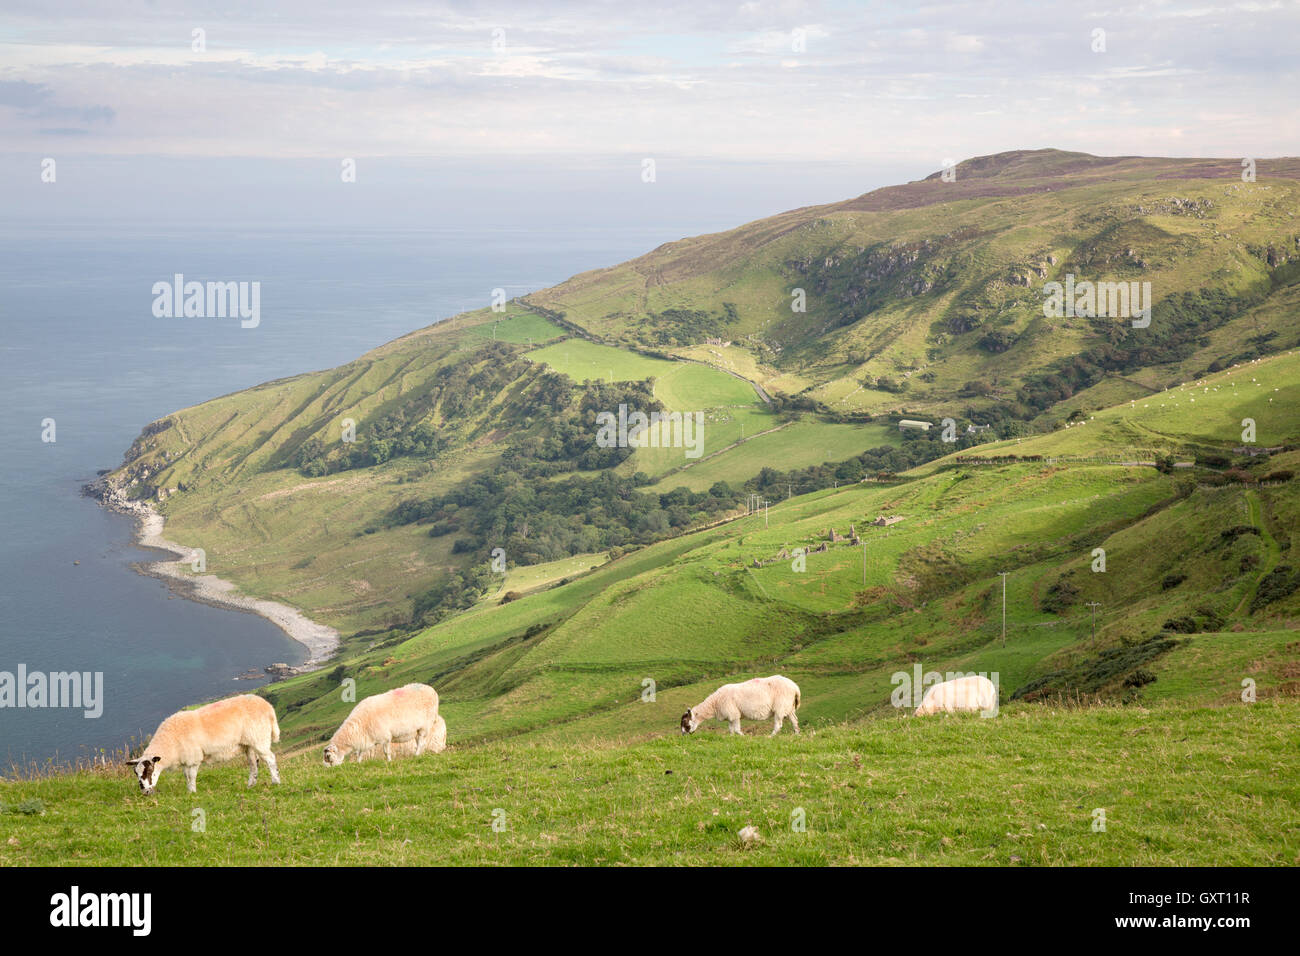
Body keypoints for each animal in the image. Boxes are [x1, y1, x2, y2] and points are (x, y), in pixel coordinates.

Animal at [126, 694, 280, 794]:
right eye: (135, 772)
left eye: (149, 770)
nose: (145, 791)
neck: (170, 743)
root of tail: (268, 707)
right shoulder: (186, 759)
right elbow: (186, 776)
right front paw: (189, 791)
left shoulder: (193, 758)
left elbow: (191, 776)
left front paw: (193, 793)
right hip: (249, 744)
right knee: (253, 764)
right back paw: (250, 785)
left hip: (259, 738)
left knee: (270, 758)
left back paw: (276, 782)